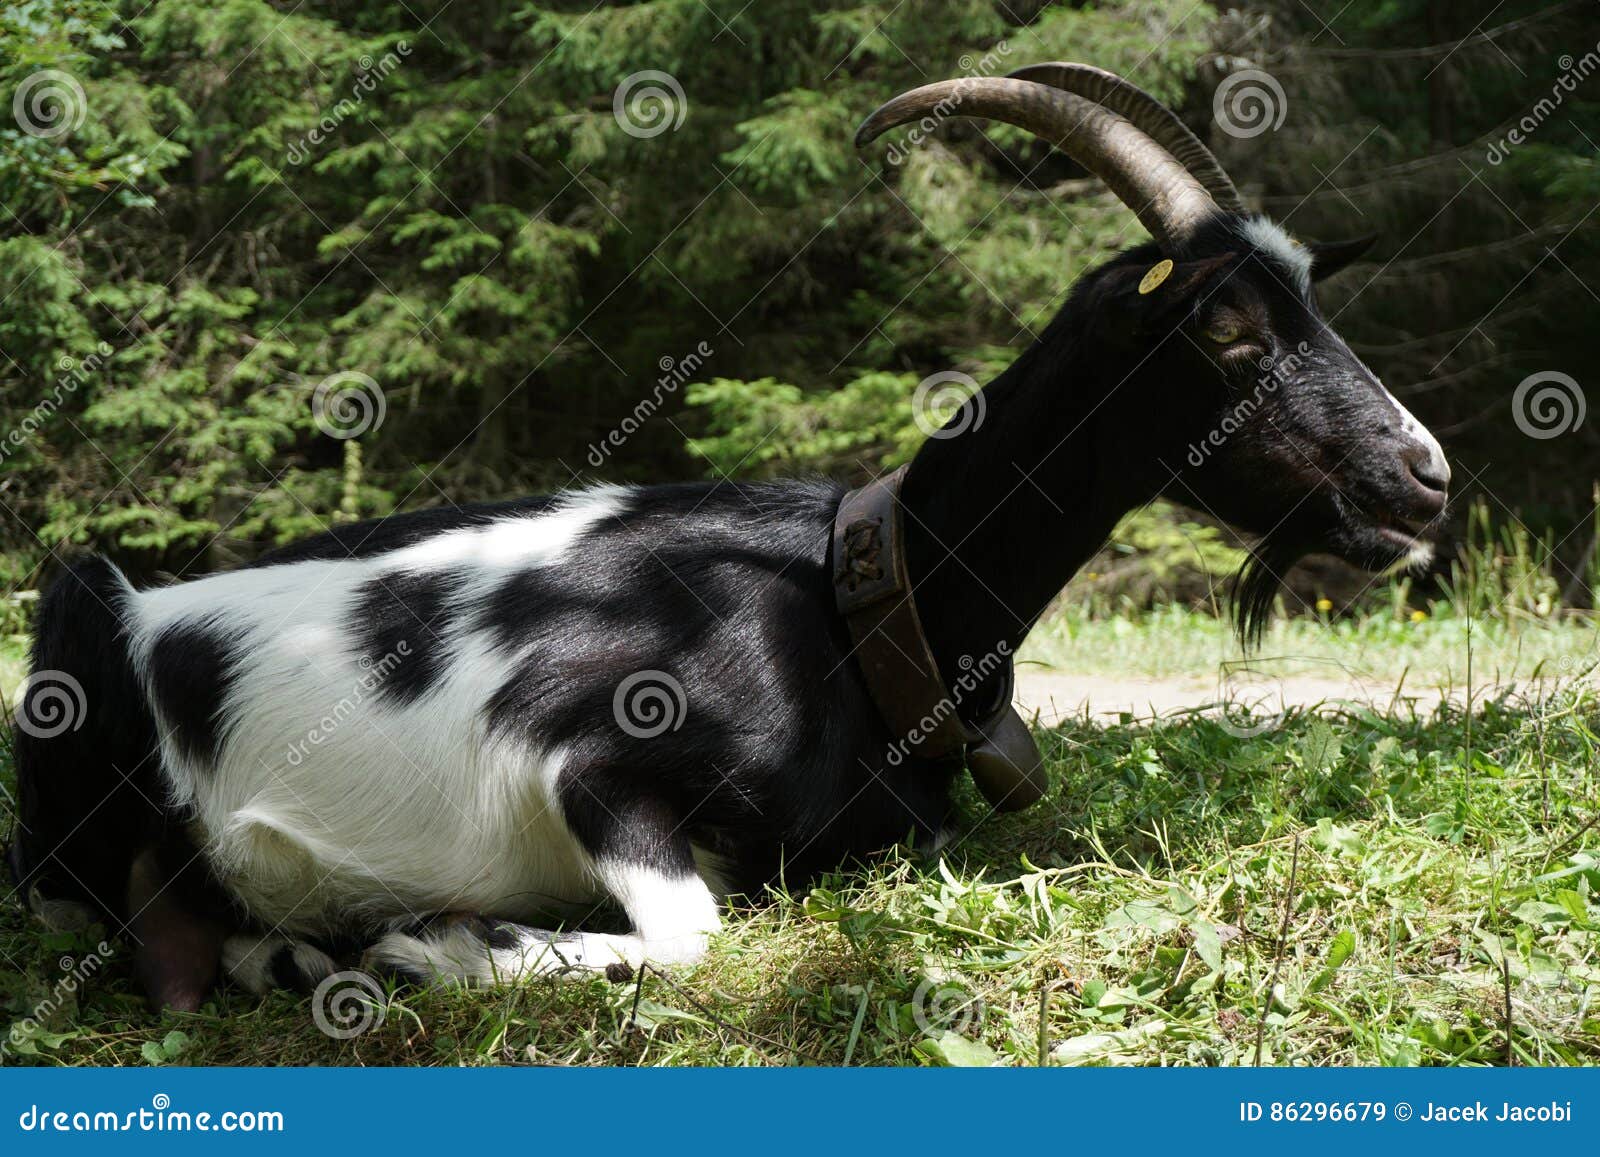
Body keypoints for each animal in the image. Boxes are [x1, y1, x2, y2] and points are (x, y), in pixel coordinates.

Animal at [8, 65, 1450, 1011]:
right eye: (1229, 328)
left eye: (1312, 300)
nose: (1425, 475)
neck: (862, 602)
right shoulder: (589, 753)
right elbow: (695, 934)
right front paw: (452, 947)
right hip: (71, 656)